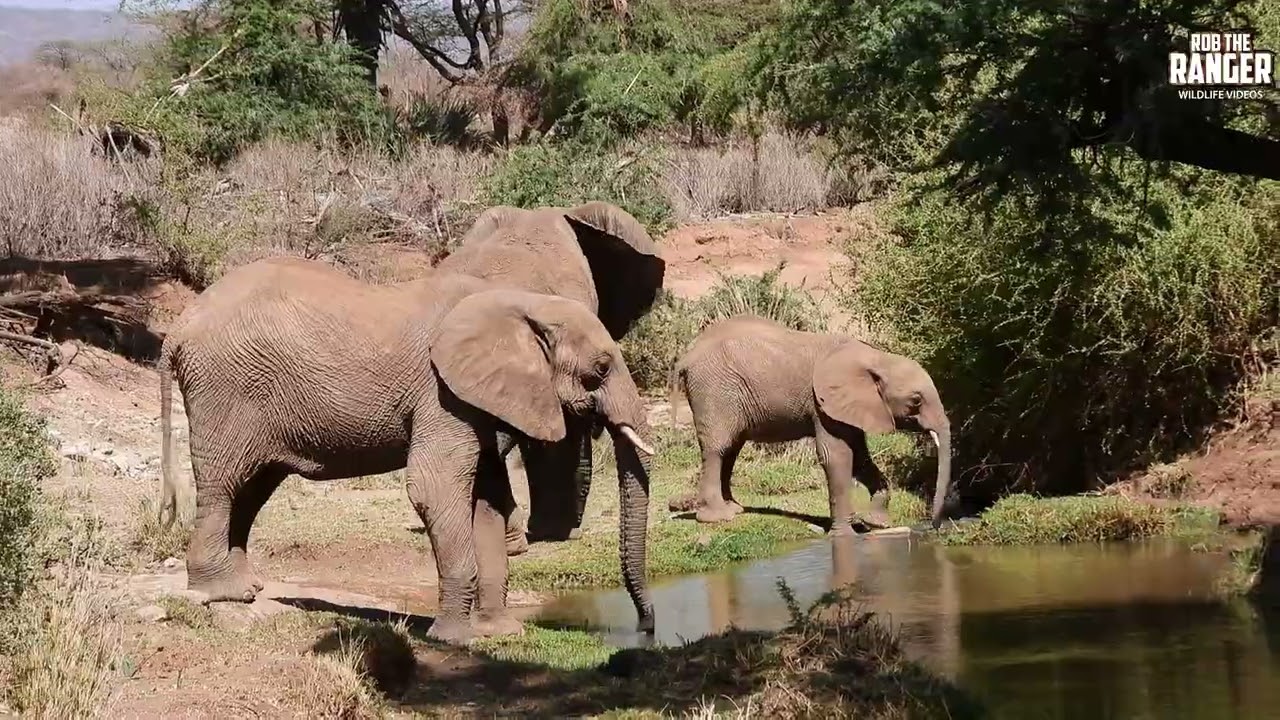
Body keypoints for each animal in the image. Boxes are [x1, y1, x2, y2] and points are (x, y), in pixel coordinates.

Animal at [155, 256, 656, 643]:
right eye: (600, 368)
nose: (647, 629)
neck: (521, 304)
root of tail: (178, 327)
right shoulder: (441, 396)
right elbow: (435, 489)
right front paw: (455, 640)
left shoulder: (475, 402)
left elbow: (489, 500)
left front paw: (500, 633)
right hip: (226, 390)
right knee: (225, 485)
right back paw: (223, 594)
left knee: (253, 489)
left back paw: (249, 588)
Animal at [665, 314, 951, 532]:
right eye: (915, 401)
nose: (933, 527)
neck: (875, 357)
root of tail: (687, 355)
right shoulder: (822, 403)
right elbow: (837, 455)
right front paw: (845, 531)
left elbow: (859, 456)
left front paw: (876, 522)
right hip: (714, 390)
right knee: (719, 447)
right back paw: (717, 517)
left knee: (732, 449)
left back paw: (734, 508)